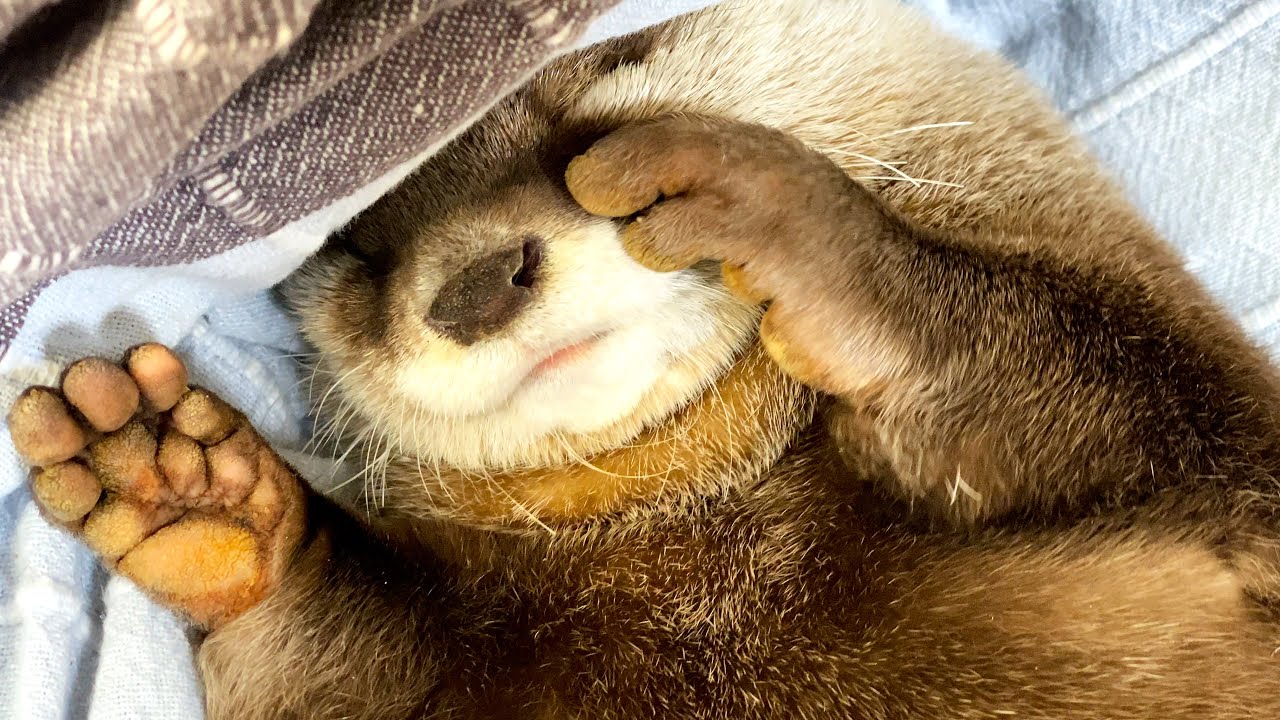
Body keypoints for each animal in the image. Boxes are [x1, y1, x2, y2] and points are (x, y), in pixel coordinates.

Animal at [8, 0, 1280, 717]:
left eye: (614, 65)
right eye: (349, 245)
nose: (474, 282)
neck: (714, 547)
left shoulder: (1225, 452)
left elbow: (1150, 393)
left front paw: (772, 208)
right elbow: (336, 661)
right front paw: (183, 485)